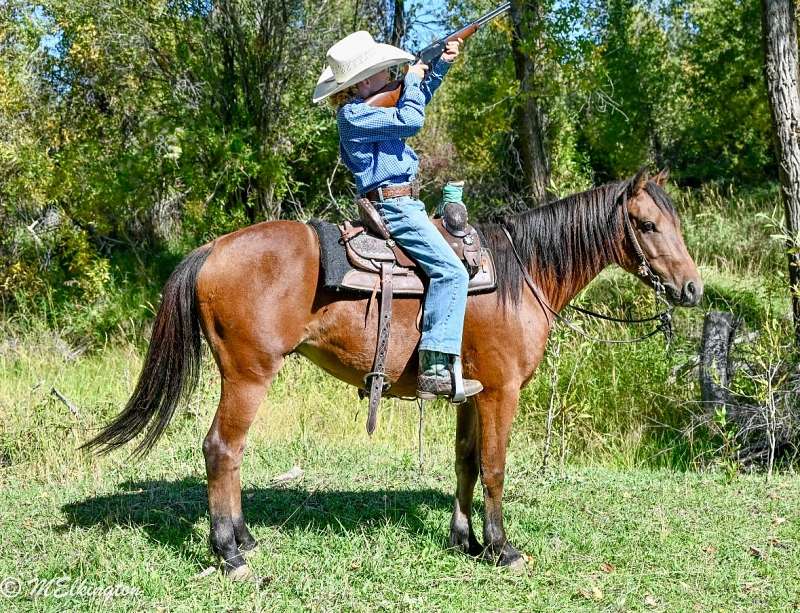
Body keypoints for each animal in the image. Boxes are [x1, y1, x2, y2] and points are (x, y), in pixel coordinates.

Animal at [83, 169, 703, 579]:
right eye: (647, 224)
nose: (693, 288)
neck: (519, 275)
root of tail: (212, 248)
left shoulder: (470, 392)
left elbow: (465, 463)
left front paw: (464, 540)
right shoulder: (501, 392)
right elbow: (495, 468)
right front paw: (502, 549)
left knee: (228, 454)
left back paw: (246, 540)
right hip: (248, 376)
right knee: (221, 449)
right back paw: (230, 553)